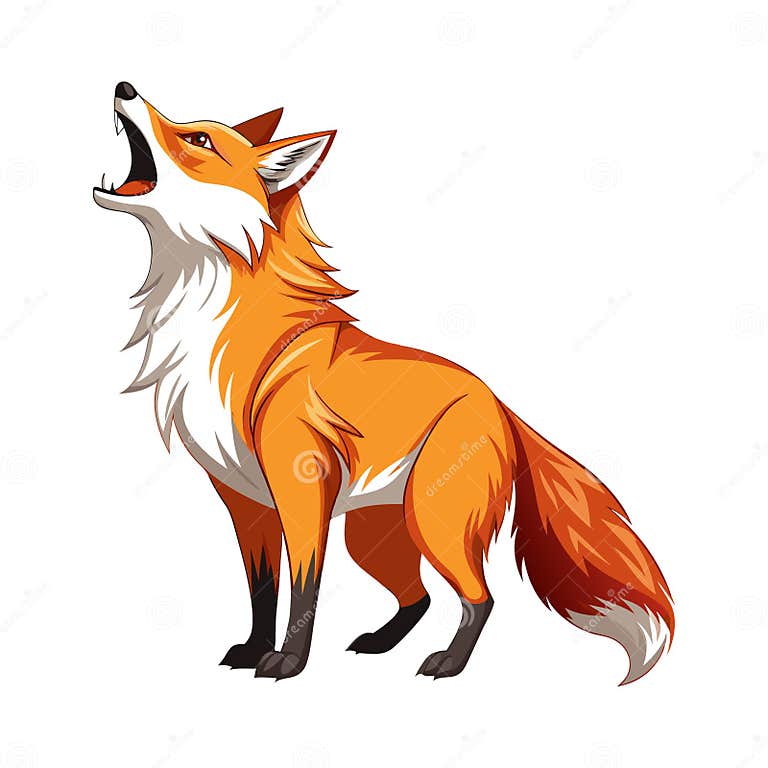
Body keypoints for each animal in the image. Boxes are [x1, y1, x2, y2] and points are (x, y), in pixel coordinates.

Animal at [93, 82, 674, 683]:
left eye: (198, 140)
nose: (124, 86)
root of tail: (498, 401)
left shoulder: (301, 491)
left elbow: (303, 589)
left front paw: (288, 662)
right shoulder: (244, 501)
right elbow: (263, 589)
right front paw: (254, 649)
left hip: (432, 526)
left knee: (480, 598)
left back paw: (448, 663)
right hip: (375, 539)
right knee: (419, 598)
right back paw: (380, 643)